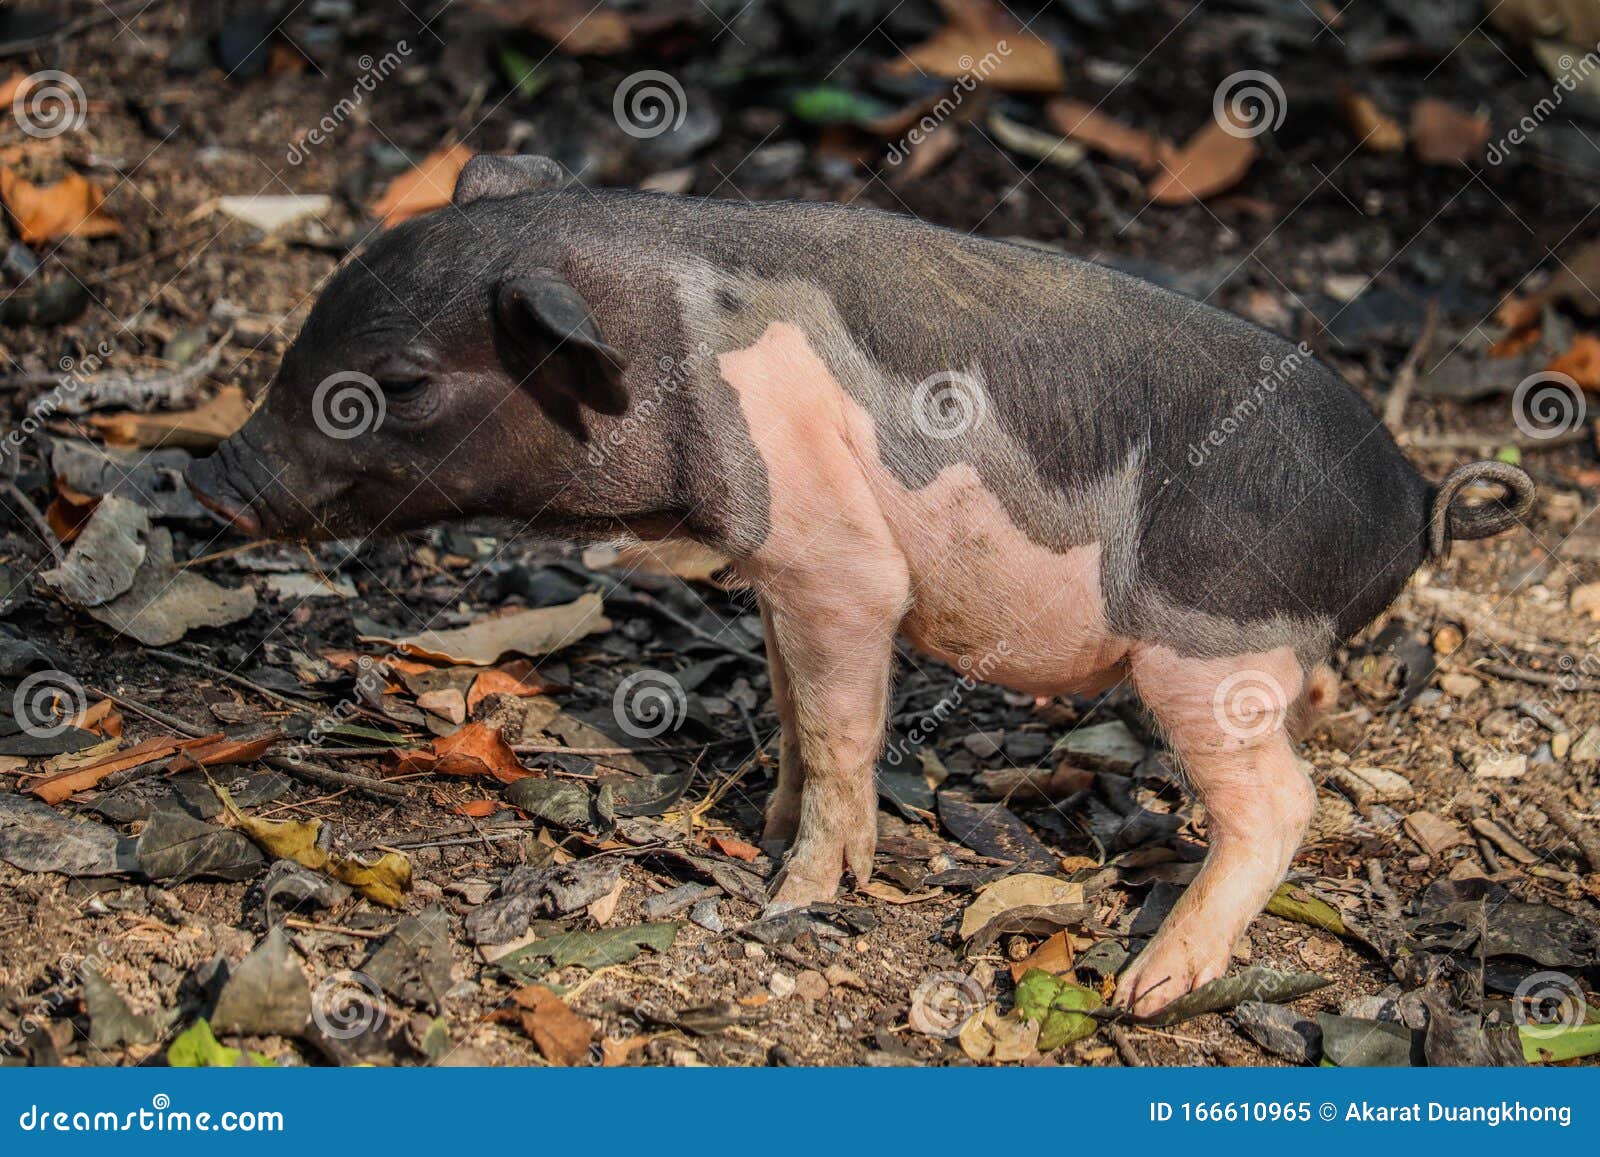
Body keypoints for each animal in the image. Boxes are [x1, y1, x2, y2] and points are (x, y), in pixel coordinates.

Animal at [186, 155, 1534, 1014]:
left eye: (401, 383)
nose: (211, 479)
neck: (666, 344)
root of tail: (1412, 497)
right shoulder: (778, 573)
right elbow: (791, 712)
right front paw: (769, 829)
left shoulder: (839, 566)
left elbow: (841, 729)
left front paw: (792, 897)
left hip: (1208, 642)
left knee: (1280, 802)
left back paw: (1144, 990)